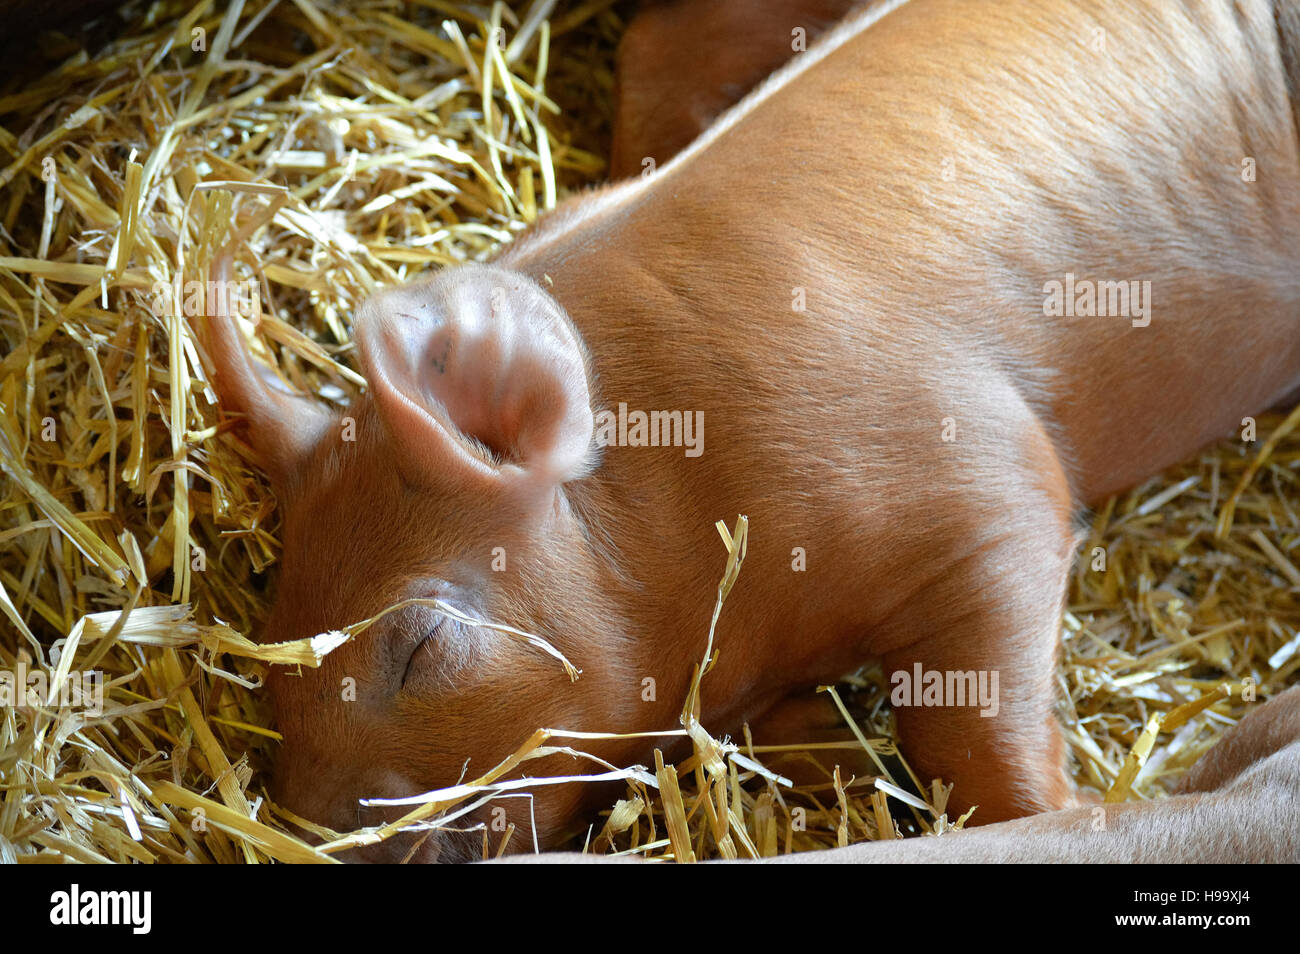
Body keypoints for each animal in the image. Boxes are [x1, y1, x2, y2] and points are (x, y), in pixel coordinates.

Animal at [203, 0, 1300, 862]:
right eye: (269, 673)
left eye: (420, 643)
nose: (314, 836)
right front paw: (847, 754)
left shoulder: (991, 492)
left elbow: (974, 730)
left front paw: (1061, 808)